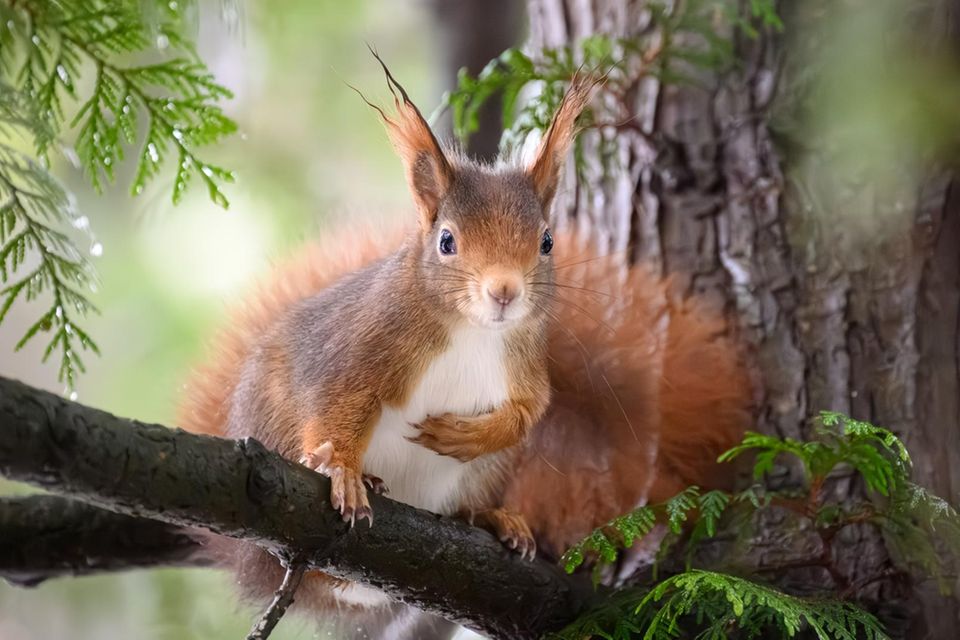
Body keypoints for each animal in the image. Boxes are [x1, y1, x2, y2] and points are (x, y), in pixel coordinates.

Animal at [178, 60, 752, 635]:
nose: (504, 291)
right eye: (446, 242)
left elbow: (527, 411)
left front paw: (462, 435)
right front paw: (342, 469)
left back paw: (494, 519)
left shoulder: (525, 364)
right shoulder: (364, 348)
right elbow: (339, 403)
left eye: (547, 241)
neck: (474, 332)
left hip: (486, 476)